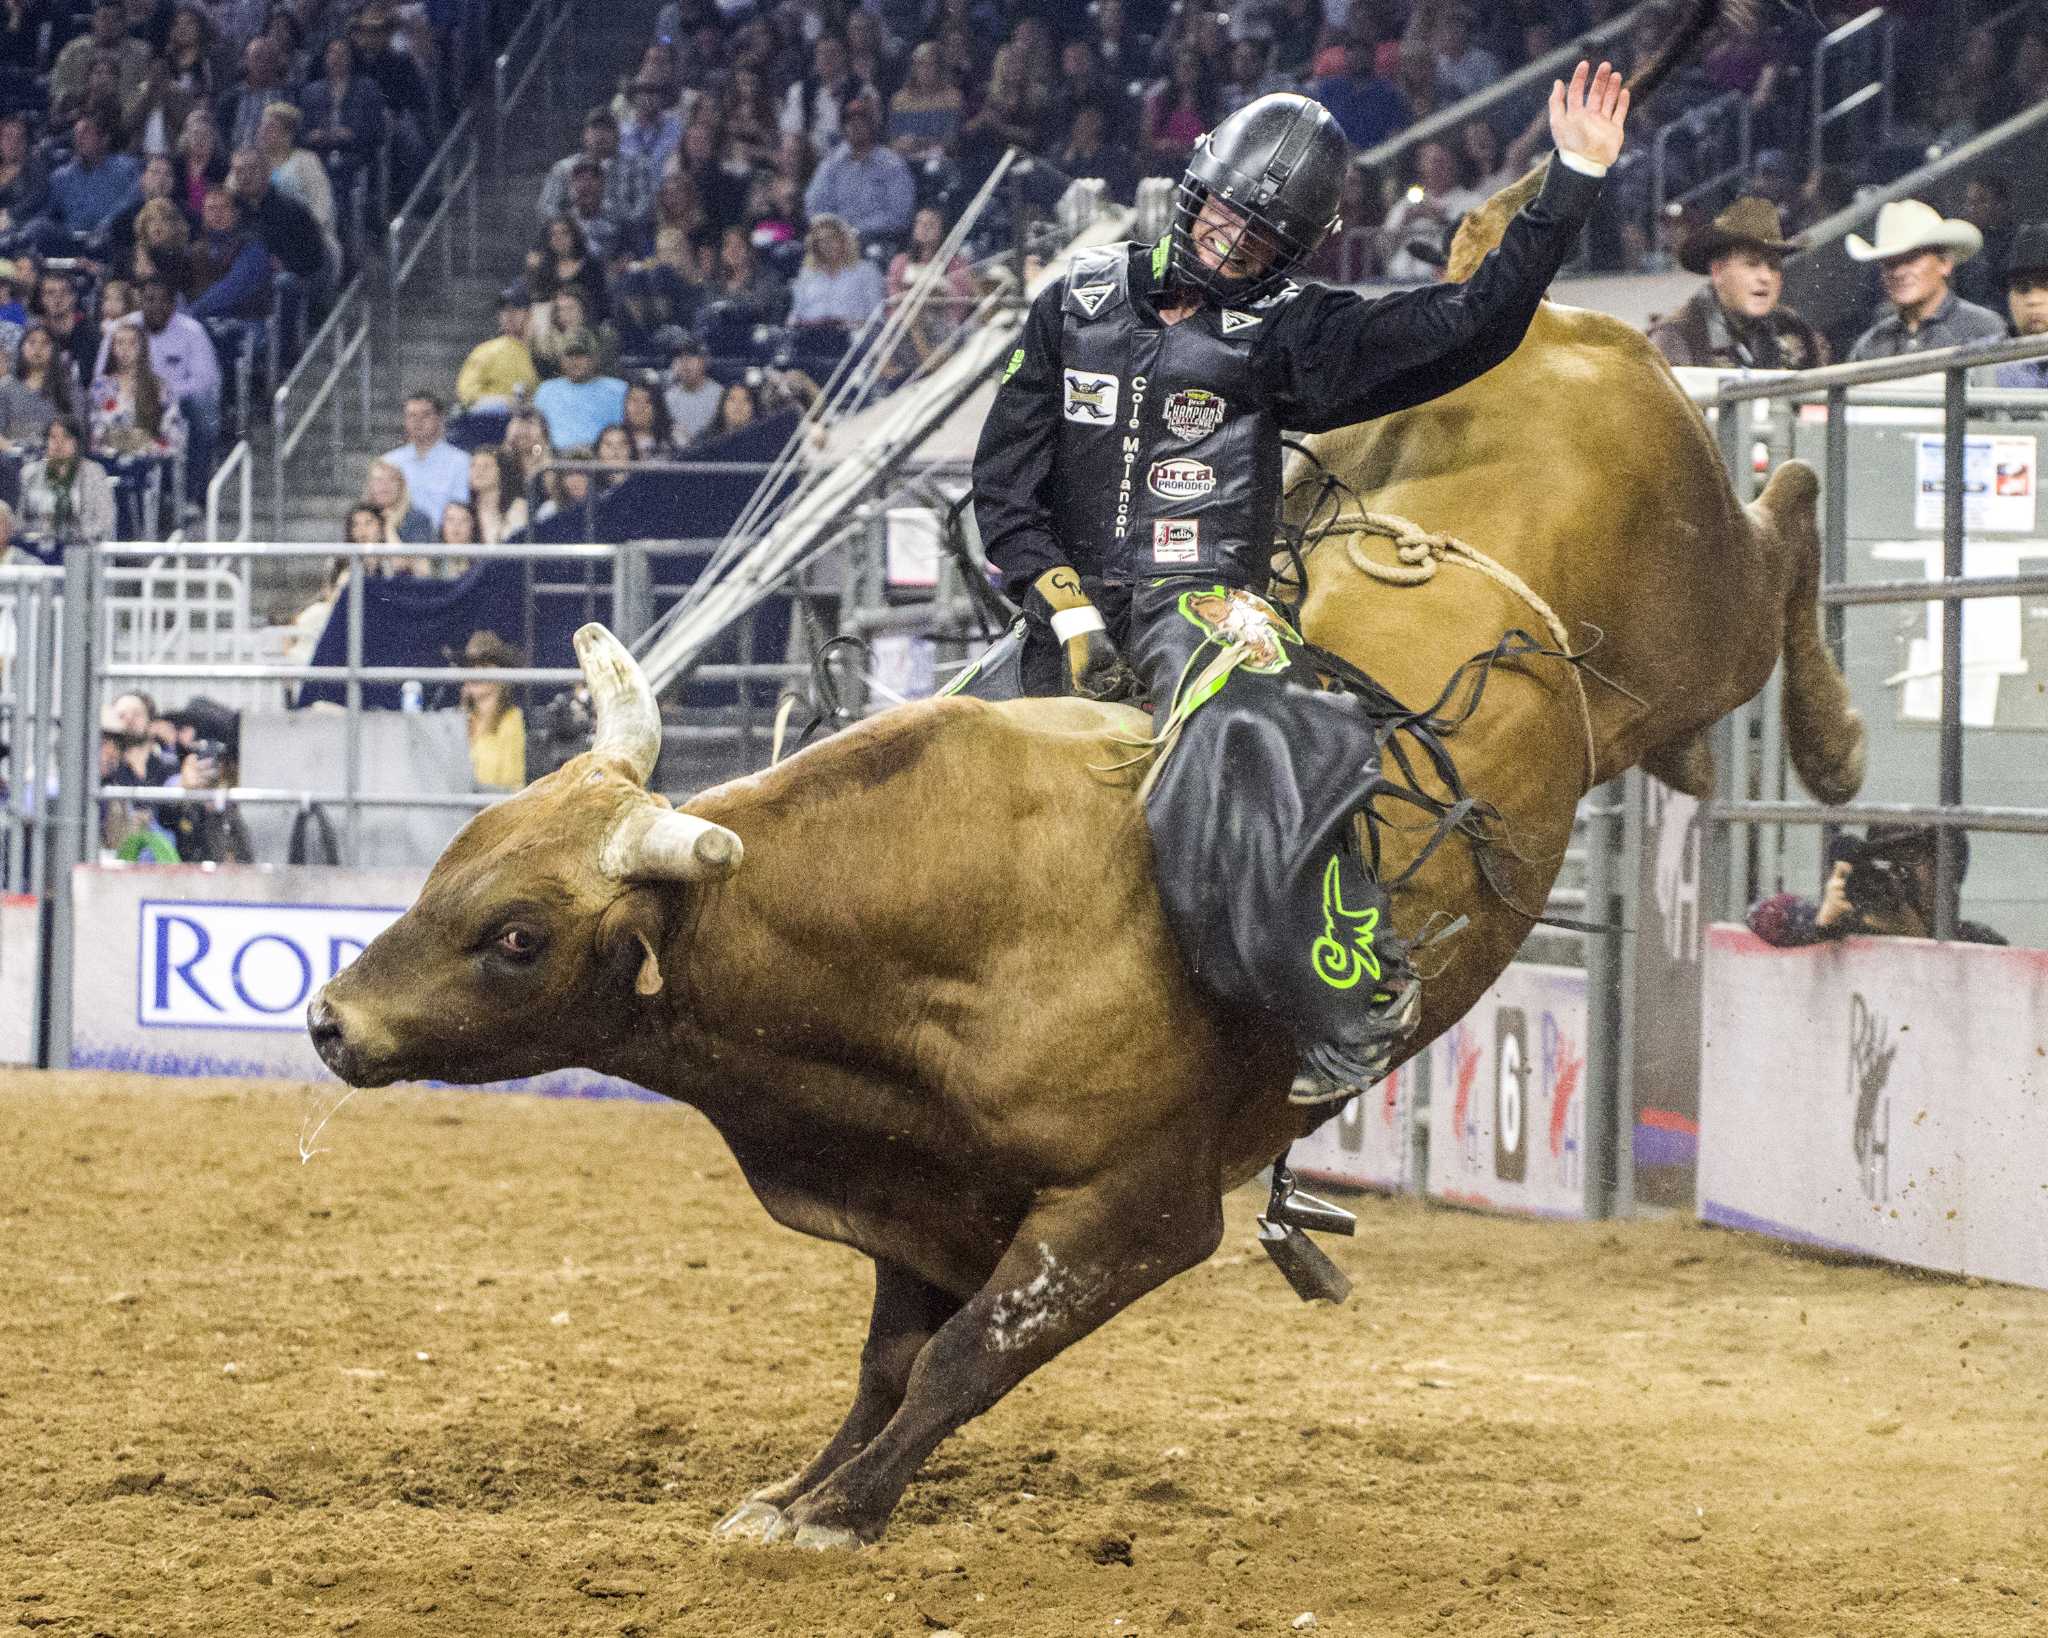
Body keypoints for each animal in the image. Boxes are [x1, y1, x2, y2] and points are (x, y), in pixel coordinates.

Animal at [310, 0, 1863, 1548]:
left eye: (517, 936)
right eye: (451, 865)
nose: (329, 1021)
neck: (916, 937)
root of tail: (1532, 314)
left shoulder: (1133, 1210)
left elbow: (965, 1354)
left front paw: (844, 1510)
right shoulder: (927, 1184)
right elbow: (888, 1357)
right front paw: (795, 1491)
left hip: (1705, 611)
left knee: (1790, 515)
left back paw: (1834, 739)